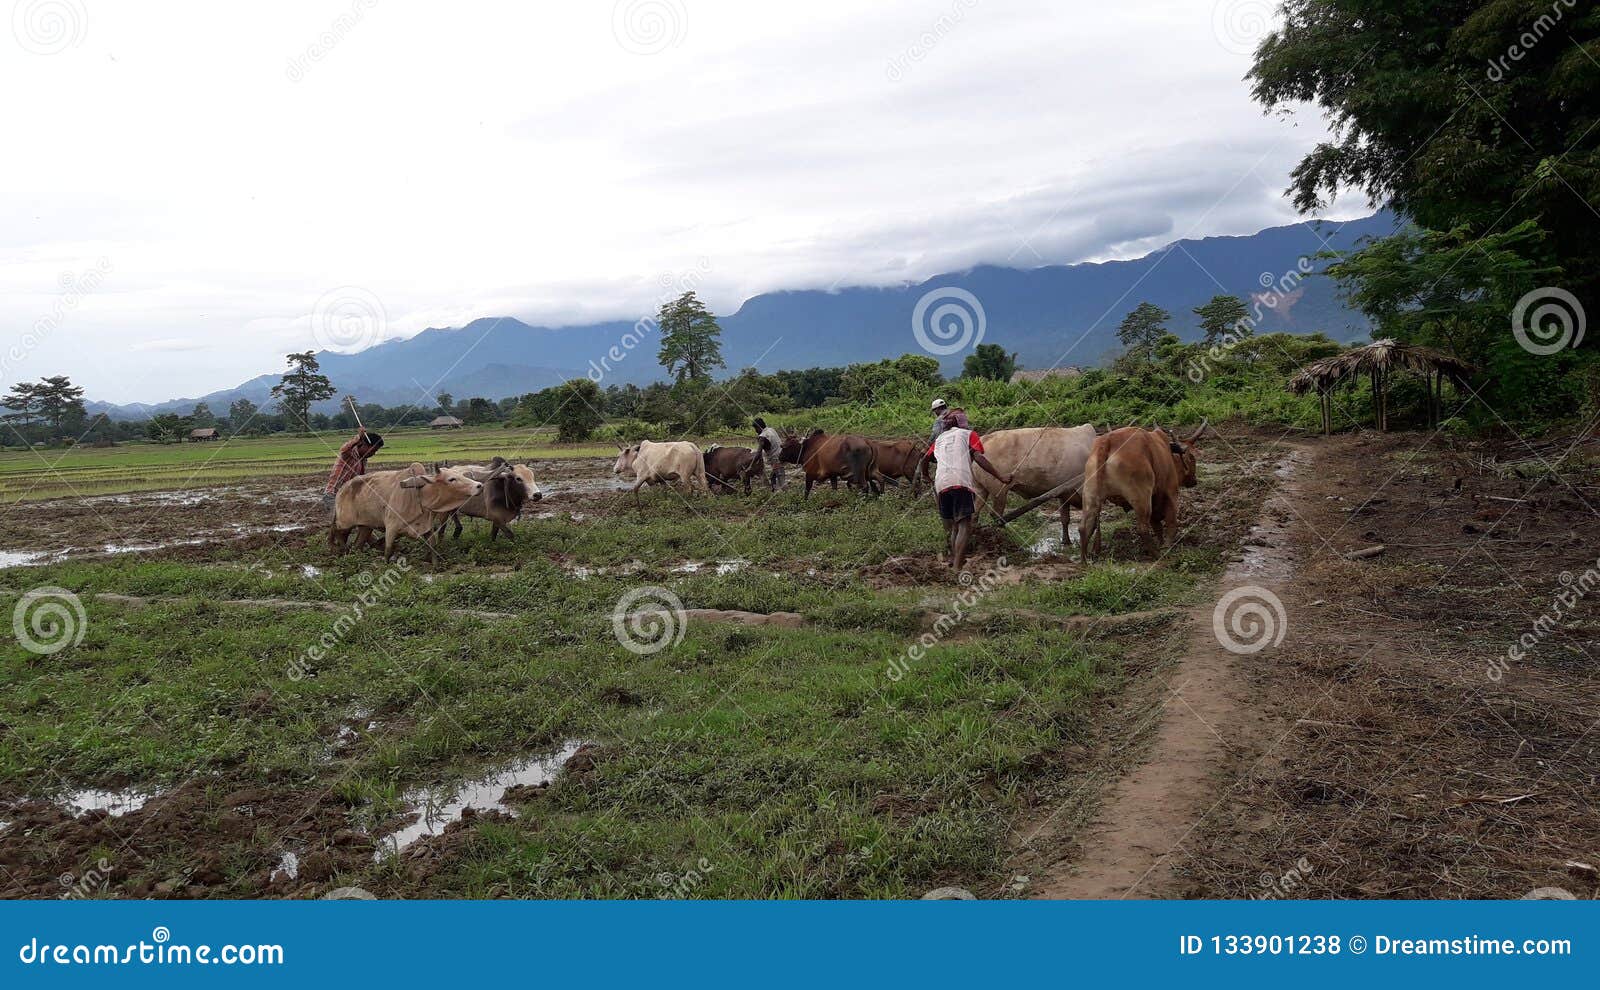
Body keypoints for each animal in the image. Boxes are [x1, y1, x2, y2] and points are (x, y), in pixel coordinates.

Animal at [330, 462, 484, 562]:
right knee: (336, 532)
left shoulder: (426, 526)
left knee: (358, 544)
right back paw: (340, 550)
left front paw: (434, 565)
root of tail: (342, 488)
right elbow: (388, 550)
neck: (418, 494)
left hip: (365, 526)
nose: (479, 485)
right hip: (344, 523)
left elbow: (433, 547)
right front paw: (386, 564)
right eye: (451, 479)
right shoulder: (391, 528)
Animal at [969, 425, 1098, 551]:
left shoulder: (1064, 492)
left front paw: (1066, 542)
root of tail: (984, 439)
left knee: (975, 513)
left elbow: (1065, 519)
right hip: (999, 490)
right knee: (997, 516)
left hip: (980, 488)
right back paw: (1003, 537)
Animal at [1078, 423, 1203, 562]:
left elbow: (1157, 525)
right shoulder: (1171, 492)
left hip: (1090, 496)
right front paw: (1166, 546)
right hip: (1142, 498)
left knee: (1084, 527)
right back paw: (1157, 555)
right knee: (1142, 528)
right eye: (1192, 458)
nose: (1194, 480)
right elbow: (1171, 523)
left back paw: (1084, 561)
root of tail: (1108, 441)